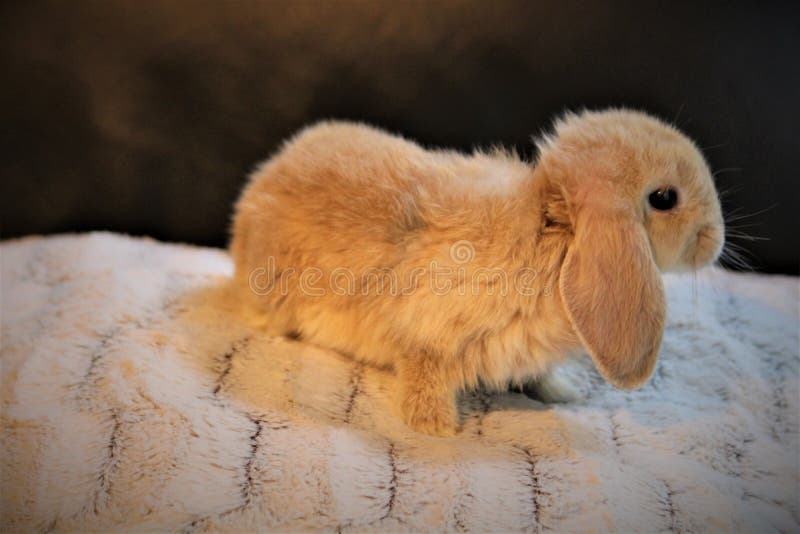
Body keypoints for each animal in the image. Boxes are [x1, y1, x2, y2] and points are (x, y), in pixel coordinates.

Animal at [229, 109, 725, 436]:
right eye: (665, 198)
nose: (715, 239)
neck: (555, 229)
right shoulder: (428, 332)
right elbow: (423, 376)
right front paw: (436, 429)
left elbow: (537, 375)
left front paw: (563, 391)